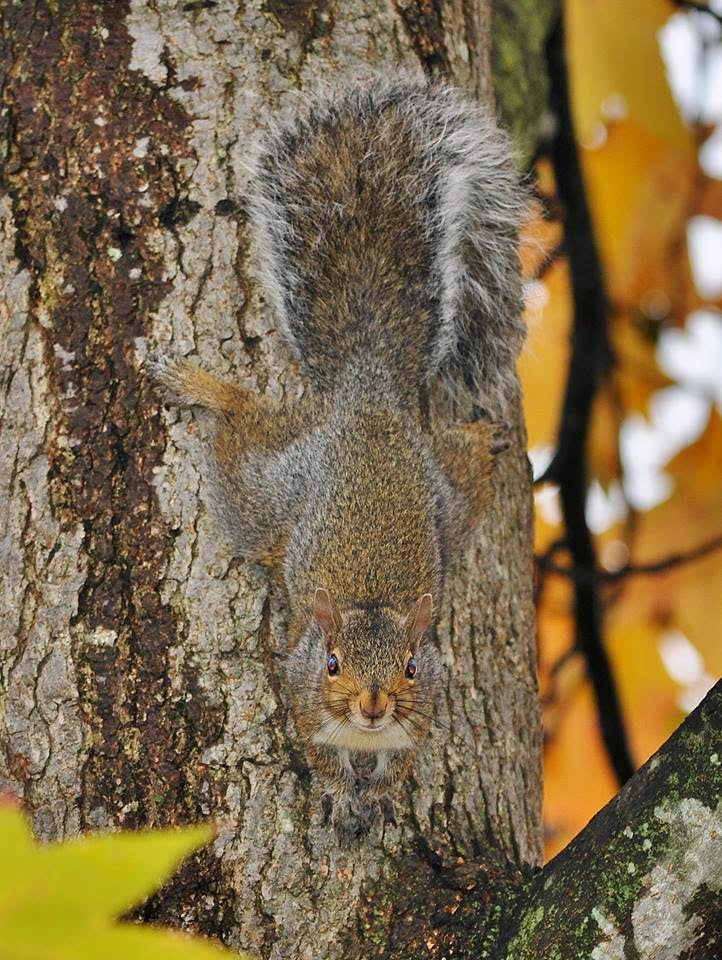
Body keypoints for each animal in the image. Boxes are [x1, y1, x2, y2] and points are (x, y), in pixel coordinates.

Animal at [150, 79, 525, 842]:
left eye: (409, 666)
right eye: (330, 663)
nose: (374, 704)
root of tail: (369, 395)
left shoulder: (427, 712)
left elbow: (405, 764)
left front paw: (377, 797)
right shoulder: (297, 695)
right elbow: (315, 749)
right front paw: (334, 791)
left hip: (445, 497)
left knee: (460, 468)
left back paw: (482, 440)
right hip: (270, 487)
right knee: (242, 421)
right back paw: (200, 386)